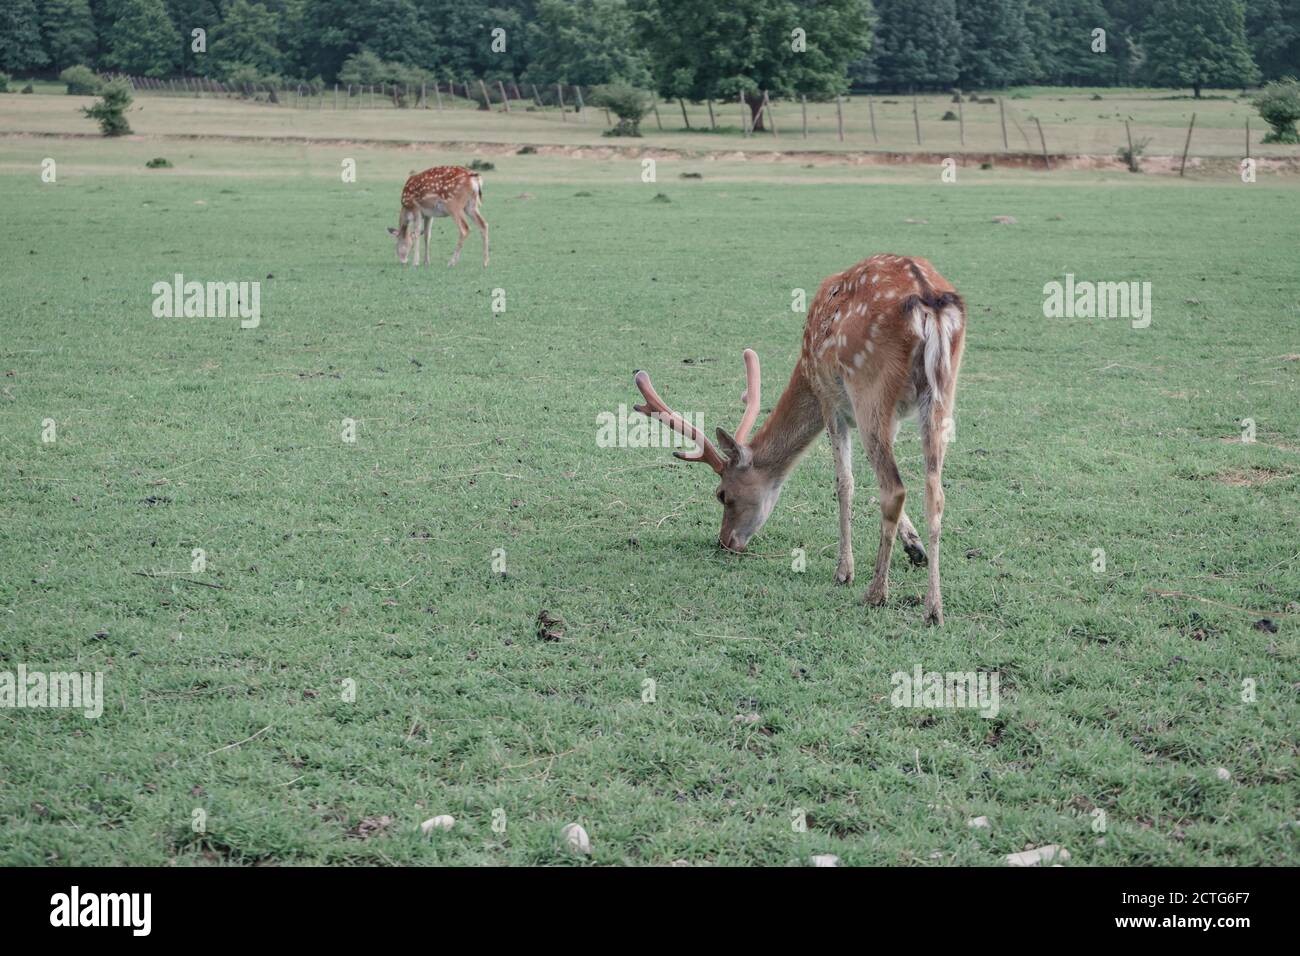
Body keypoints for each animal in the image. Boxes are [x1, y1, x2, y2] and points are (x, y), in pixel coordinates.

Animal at [632, 254, 966, 625]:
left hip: (870, 388)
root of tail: (929, 302)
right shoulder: (887, 418)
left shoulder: (829, 399)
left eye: (722, 495)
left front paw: (844, 571)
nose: (725, 541)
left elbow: (845, 482)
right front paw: (914, 548)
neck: (804, 371)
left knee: (894, 489)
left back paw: (876, 593)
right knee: (934, 491)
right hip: (941, 394)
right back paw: (934, 609)